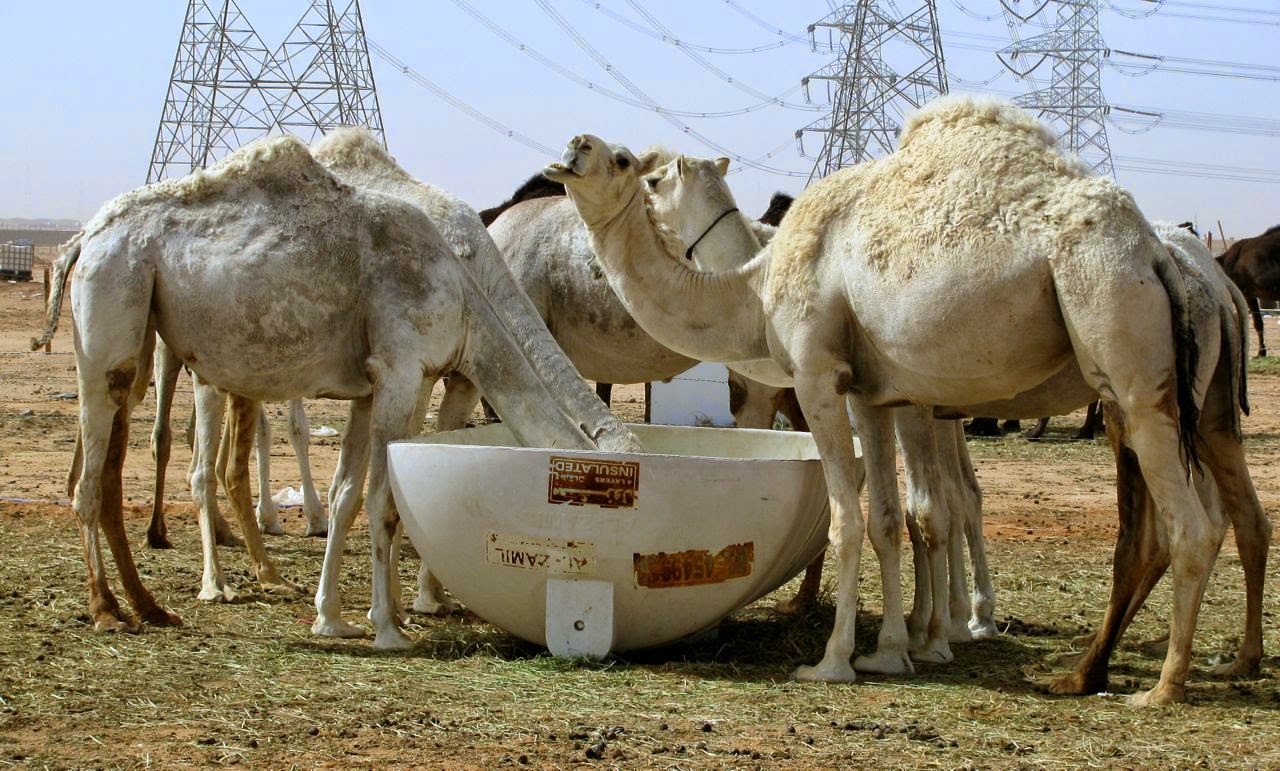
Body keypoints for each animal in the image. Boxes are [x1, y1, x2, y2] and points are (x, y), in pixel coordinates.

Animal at [33, 134, 640, 649]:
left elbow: (348, 493)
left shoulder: (375, 385)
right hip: (115, 296)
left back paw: (153, 607)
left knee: (116, 460)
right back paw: (122, 606)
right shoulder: (402, 369)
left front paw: (335, 618)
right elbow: (384, 501)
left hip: (140, 327)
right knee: (104, 475)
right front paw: (391, 629)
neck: (471, 303)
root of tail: (81, 239)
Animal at [546, 95, 1265, 704]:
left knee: (1188, 526)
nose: (574, 144)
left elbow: (852, 517)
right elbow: (896, 517)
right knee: (1220, 516)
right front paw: (894, 650)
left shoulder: (818, 376)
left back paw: (1158, 685)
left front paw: (834, 660)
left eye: (634, 168)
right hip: (1190, 405)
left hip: (1125, 356)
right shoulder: (874, 391)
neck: (756, 283)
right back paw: (1176, 664)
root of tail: (1164, 256)